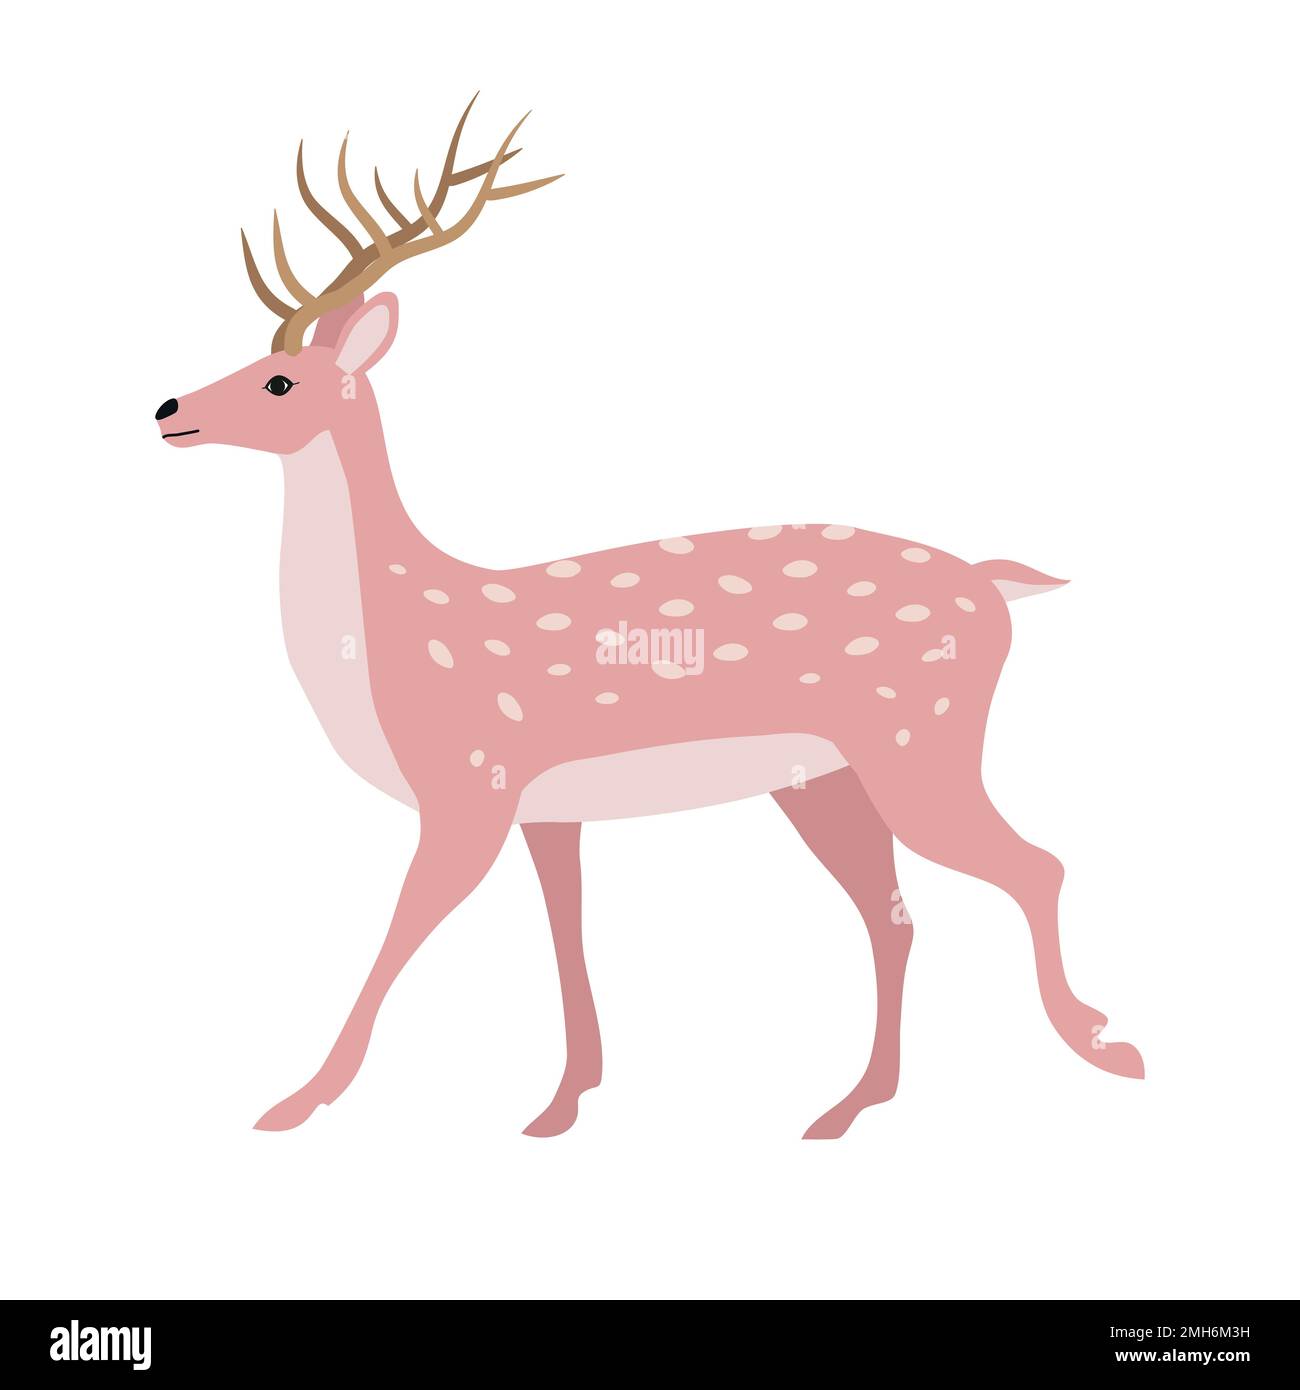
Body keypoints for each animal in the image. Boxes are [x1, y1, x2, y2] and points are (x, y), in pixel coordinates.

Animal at [155, 98, 1144, 1138]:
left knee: (1035, 866)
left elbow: (398, 933)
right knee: (896, 912)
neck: (389, 636)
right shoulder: (547, 811)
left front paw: (294, 1103)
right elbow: (566, 932)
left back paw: (1105, 1046)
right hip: (826, 777)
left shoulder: (471, 785)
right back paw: (846, 1107)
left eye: (279, 383)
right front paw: (561, 1103)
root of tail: (996, 587)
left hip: (924, 742)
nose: (168, 408)